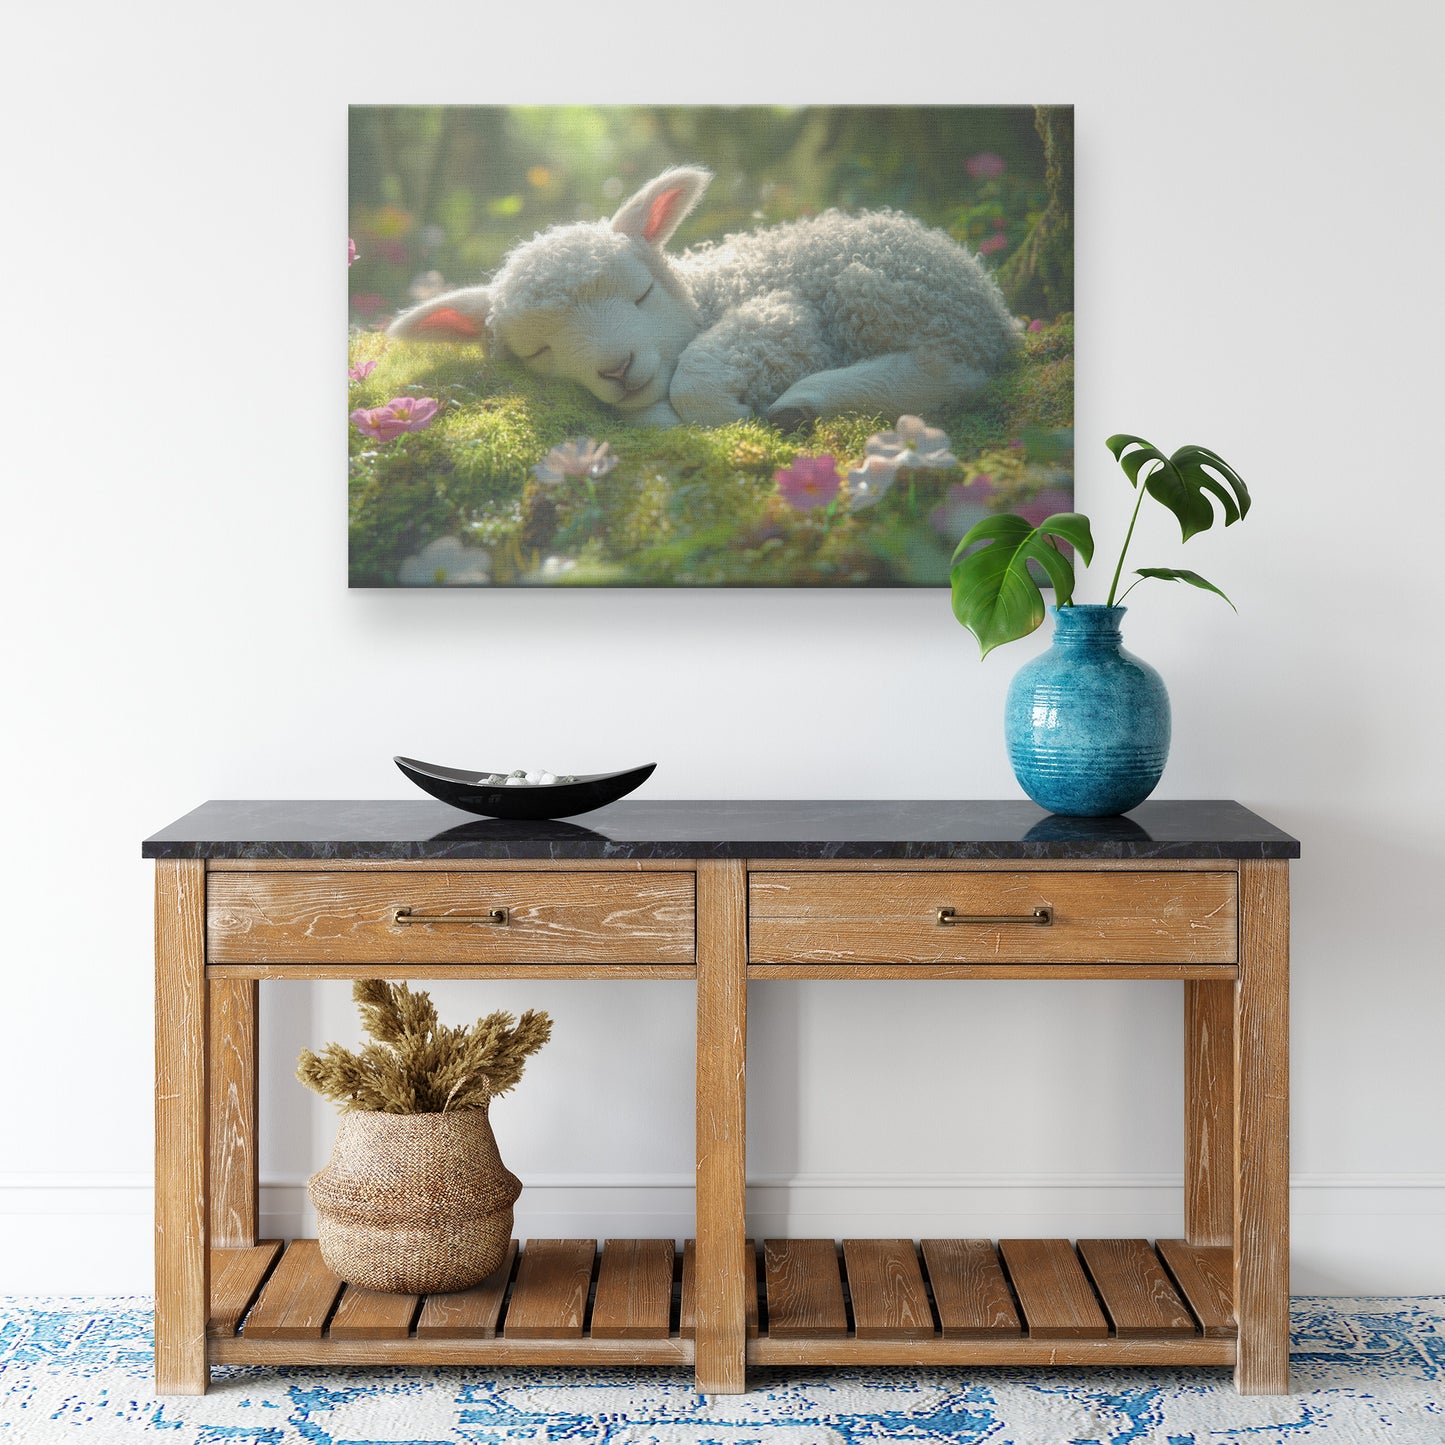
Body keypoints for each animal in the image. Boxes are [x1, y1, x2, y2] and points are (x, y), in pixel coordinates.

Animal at [387, 166, 1019, 431]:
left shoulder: (782, 314)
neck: (707, 291)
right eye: (538, 351)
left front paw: (720, 412)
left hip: (890, 293)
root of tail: (995, 306)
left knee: (949, 372)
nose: (618, 368)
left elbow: (698, 377)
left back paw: (807, 400)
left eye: (641, 293)